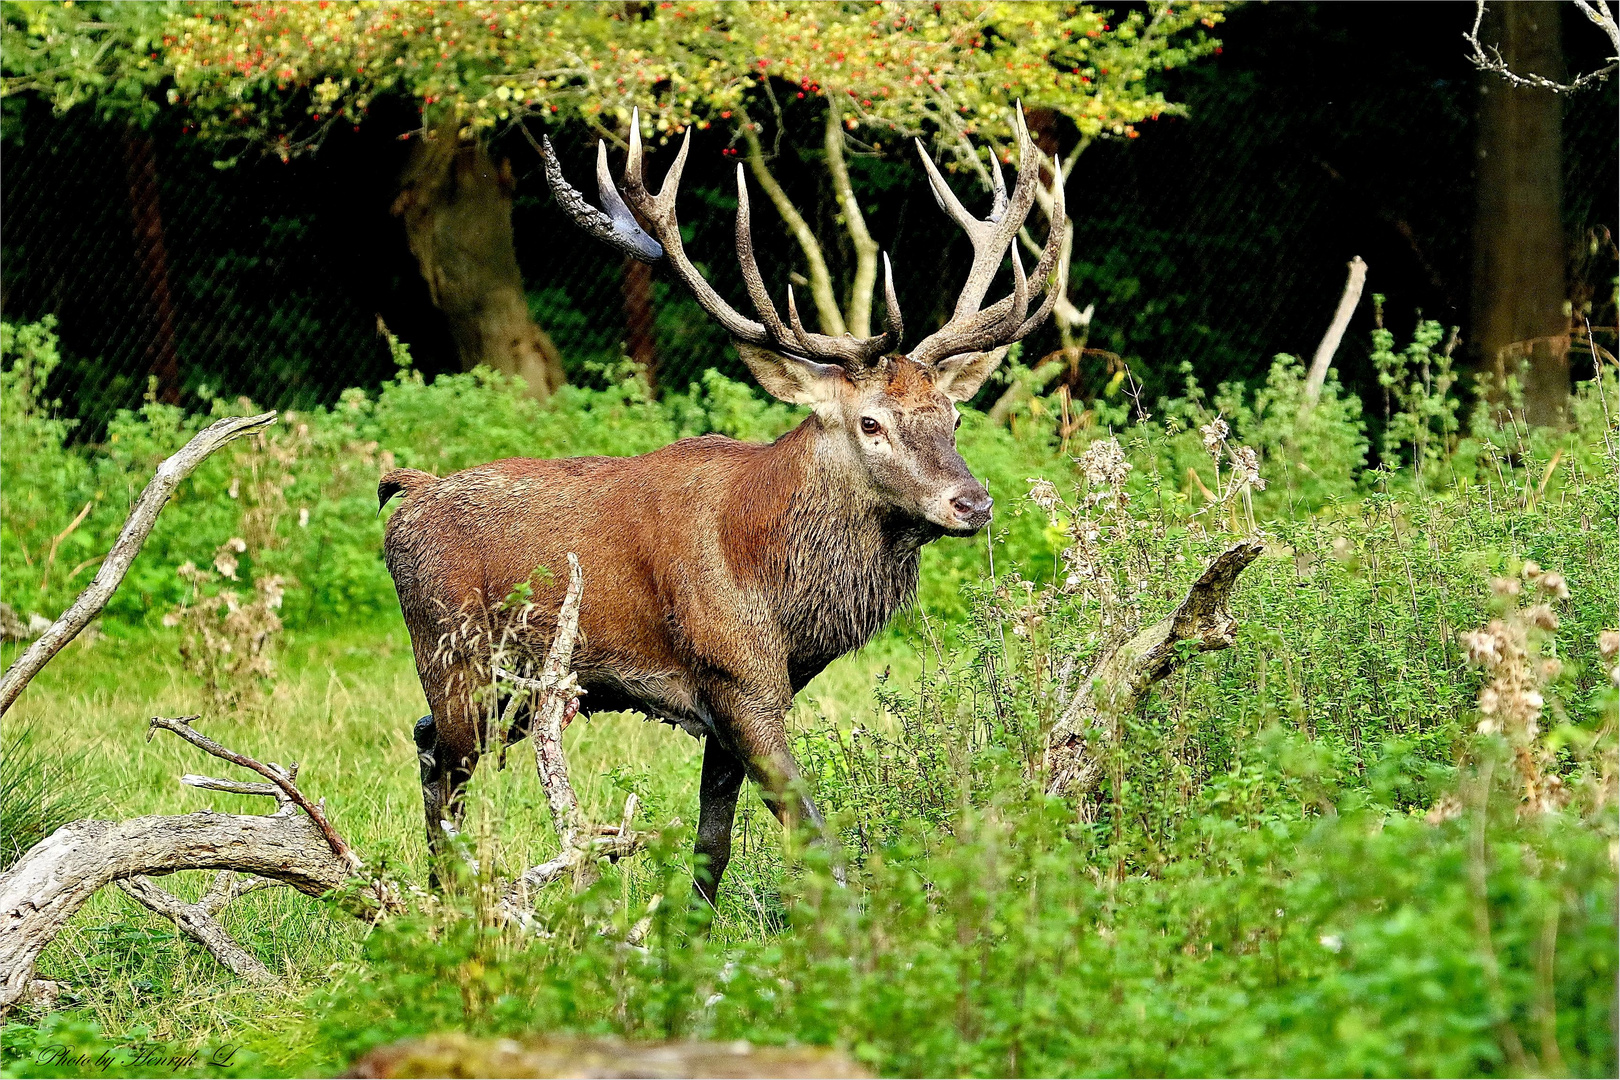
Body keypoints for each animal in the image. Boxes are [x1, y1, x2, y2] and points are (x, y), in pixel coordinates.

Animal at [380, 107, 1065, 903]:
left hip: (520, 694)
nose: (973, 501)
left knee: (427, 741)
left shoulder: (735, 699)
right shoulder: (739, 680)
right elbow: (814, 838)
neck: (779, 595)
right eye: (871, 423)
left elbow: (712, 845)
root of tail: (409, 494)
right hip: (453, 655)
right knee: (444, 767)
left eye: (953, 417)